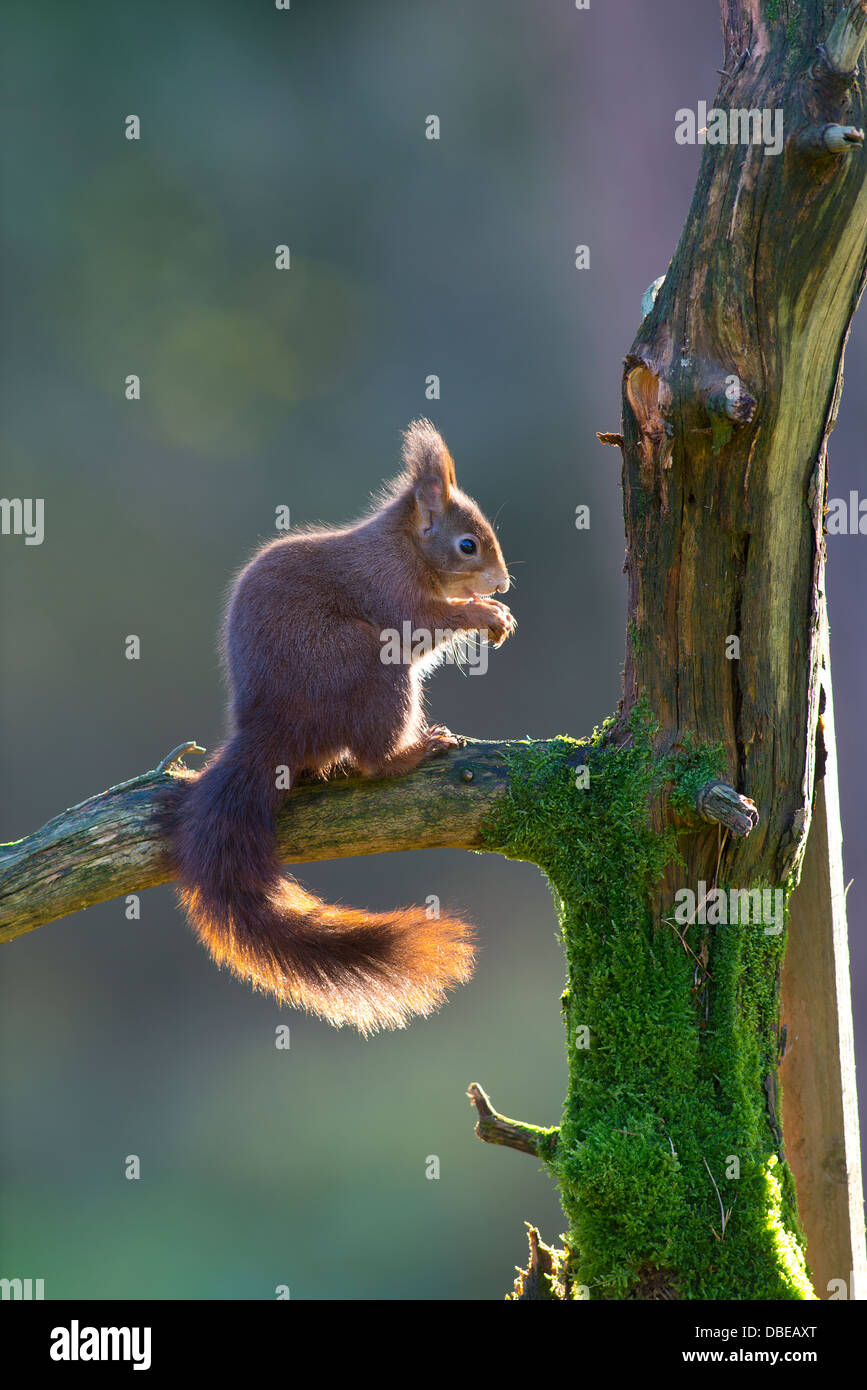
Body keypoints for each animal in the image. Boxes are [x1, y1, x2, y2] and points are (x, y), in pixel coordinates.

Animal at [170, 419, 515, 1034]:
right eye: (467, 545)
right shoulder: (390, 592)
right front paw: (483, 614)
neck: (403, 547)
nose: (499, 585)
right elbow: (423, 622)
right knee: (373, 761)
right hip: (372, 669)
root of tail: (272, 730)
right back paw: (414, 751)